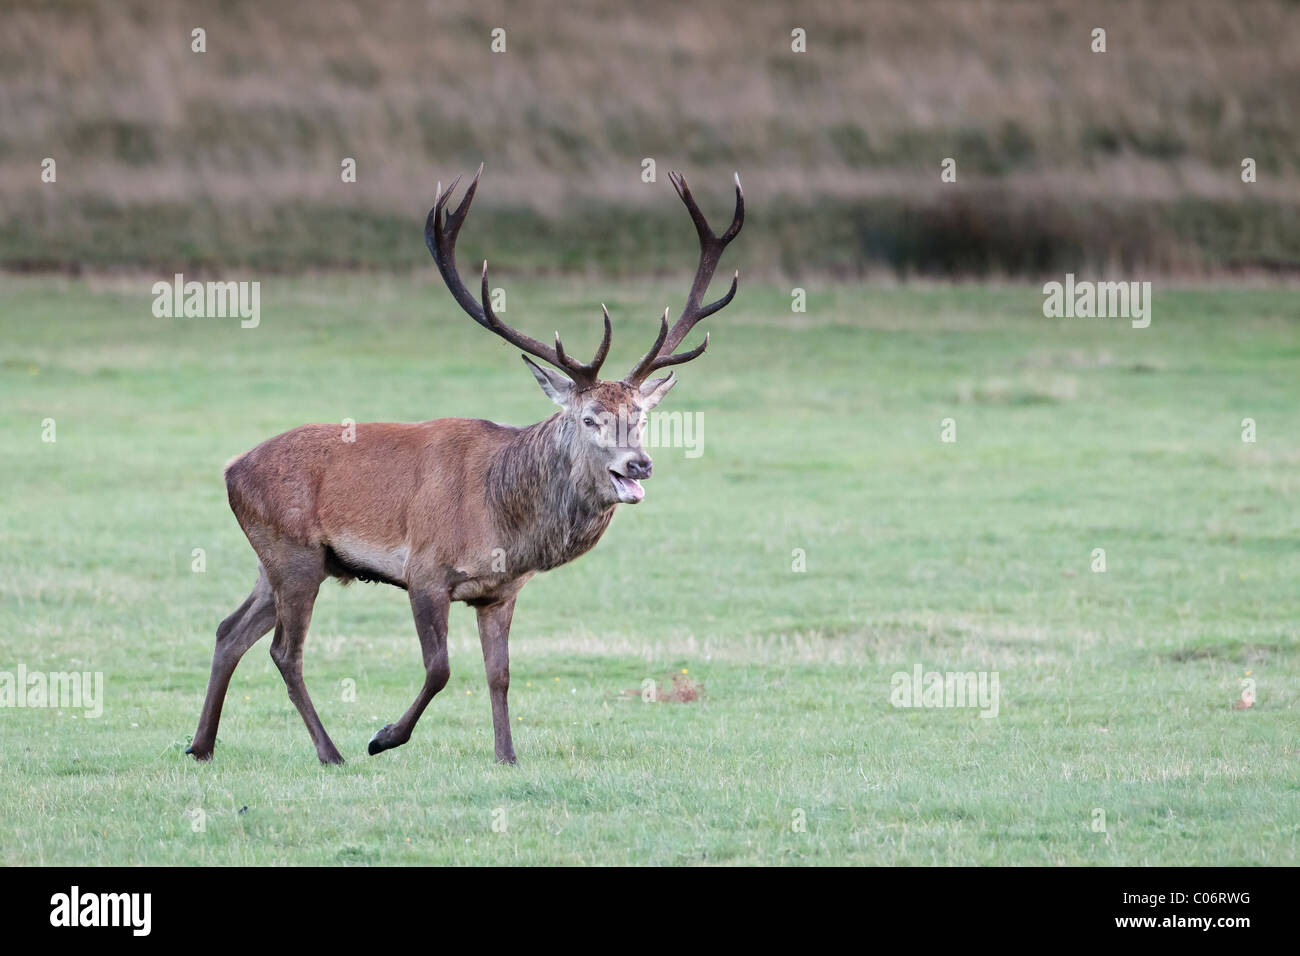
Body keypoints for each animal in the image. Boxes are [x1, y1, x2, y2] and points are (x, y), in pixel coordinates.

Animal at [186, 165, 743, 765]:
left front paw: (507, 755)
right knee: (284, 652)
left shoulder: (501, 591)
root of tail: (230, 471)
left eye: (640, 417)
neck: (503, 518)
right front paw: (385, 737)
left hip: (277, 562)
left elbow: (499, 673)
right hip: (295, 554)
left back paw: (201, 746)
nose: (639, 464)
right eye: (589, 418)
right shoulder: (425, 570)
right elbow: (440, 669)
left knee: (229, 631)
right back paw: (330, 751)